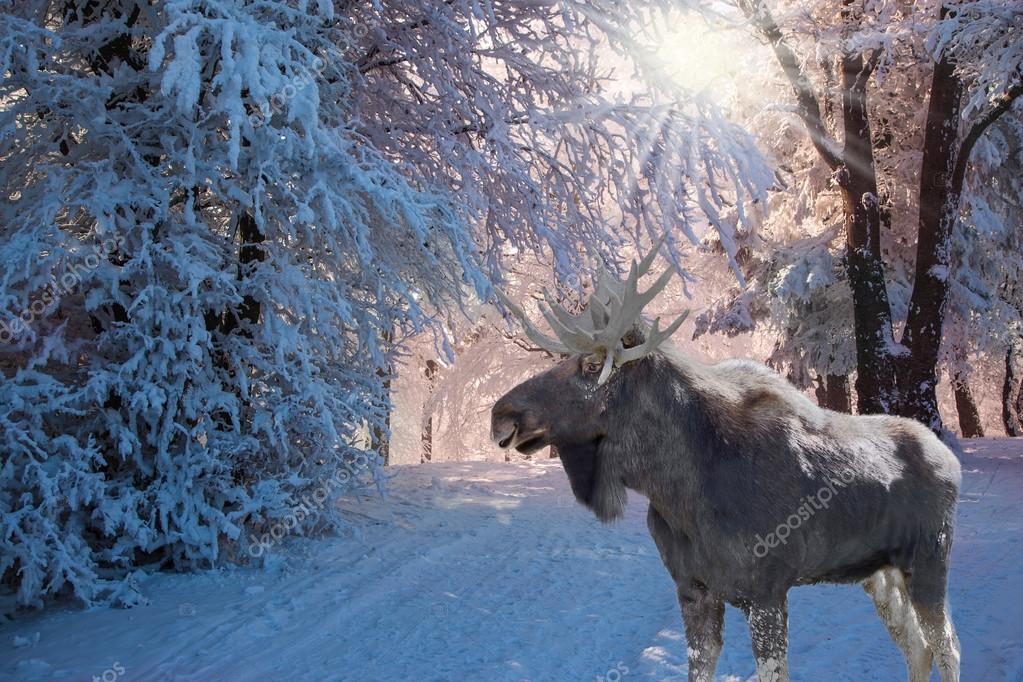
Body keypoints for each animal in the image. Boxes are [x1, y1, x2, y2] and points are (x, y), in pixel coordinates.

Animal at [490, 241, 961, 682]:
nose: (500, 415)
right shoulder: (692, 588)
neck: (678, 493)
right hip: (879, 573)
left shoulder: (767, 589)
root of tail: (952, 463)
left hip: (928, 559)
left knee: (947, 647)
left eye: (591, 366)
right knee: (916, 647)